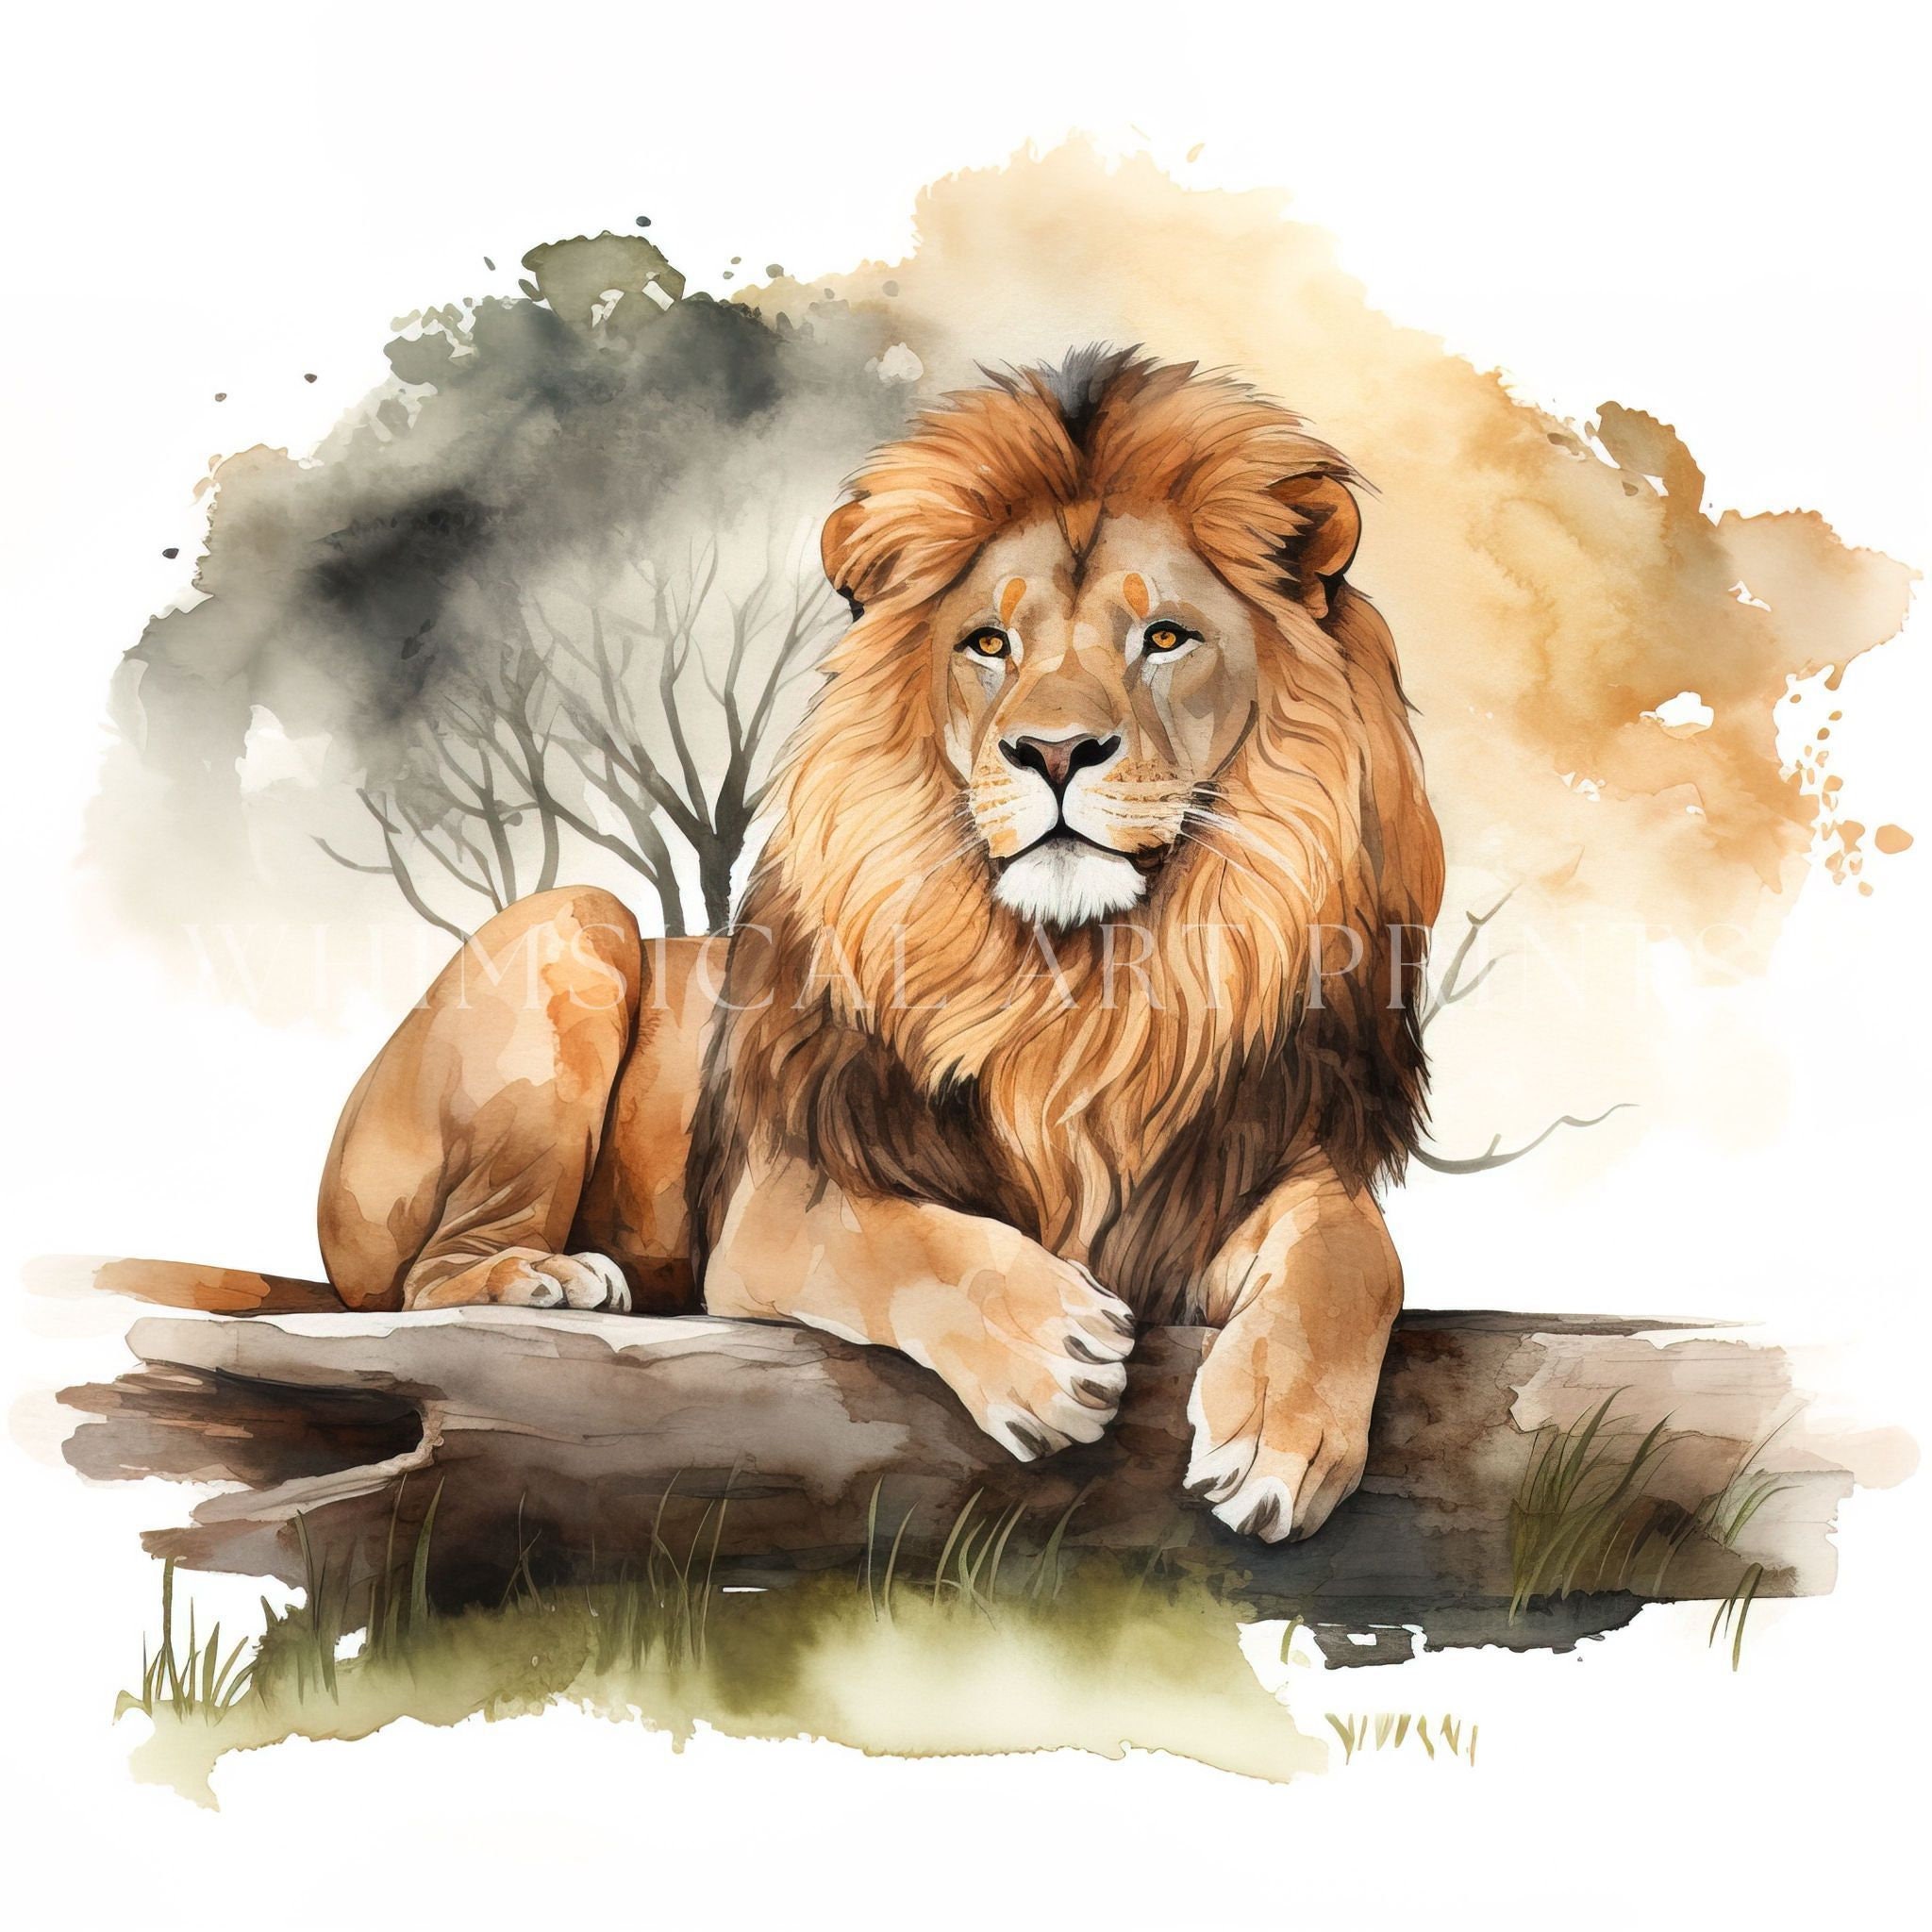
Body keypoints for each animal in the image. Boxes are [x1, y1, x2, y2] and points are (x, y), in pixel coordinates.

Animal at [145, 348, 1444, 1544]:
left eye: (1164, 637)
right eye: (987, 644)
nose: (1052, 751)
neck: (1079, 983)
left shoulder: (1257, 1171)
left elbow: (1354, 1252)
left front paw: (1279, 1432)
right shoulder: (773, 1205)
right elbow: (896, 1238)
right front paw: (1046, 1348)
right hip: (574, 925)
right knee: (425, 1281)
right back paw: (553, 1279)